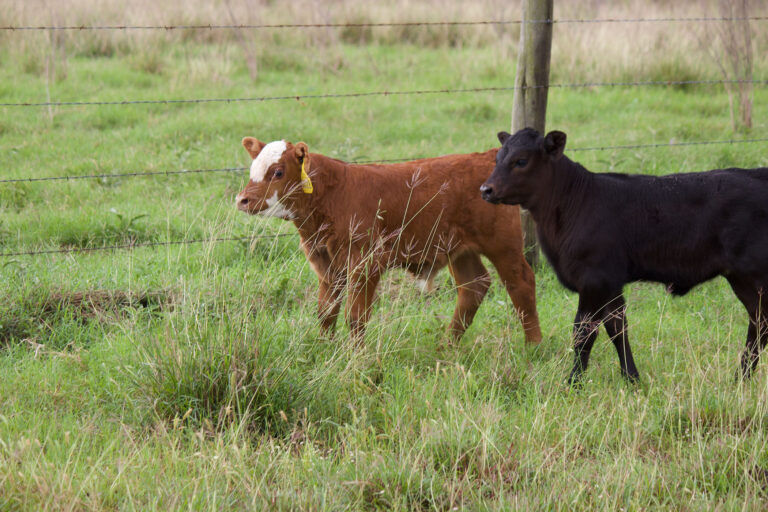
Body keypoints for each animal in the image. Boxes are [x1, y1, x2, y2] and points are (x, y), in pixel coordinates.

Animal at [235, 138, 542, 345]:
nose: (242, 200)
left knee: (521, 284)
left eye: (277, 171)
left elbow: (356, 316)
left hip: (503, 244)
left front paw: (355, 356)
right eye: (253, 168)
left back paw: (533, 346)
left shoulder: (366, 263)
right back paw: (447, 346)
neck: (332, 195)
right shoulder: (326, 264)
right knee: (473, 287)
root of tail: (483, 156)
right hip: (459, 249)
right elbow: (326, 312)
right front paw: (324, 349)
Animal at [480, 127, 768, 384]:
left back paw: (740, 378)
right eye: (497, 158)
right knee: (759, 323)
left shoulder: (594, 278)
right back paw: (740, 379)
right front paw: (631, 378)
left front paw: (573, 382)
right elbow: (617, 328)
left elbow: (583, 331)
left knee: (760, 323)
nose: (485, 189)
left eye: (521, 160)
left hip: (752, 275)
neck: (572, 203)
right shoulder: (611, 281)